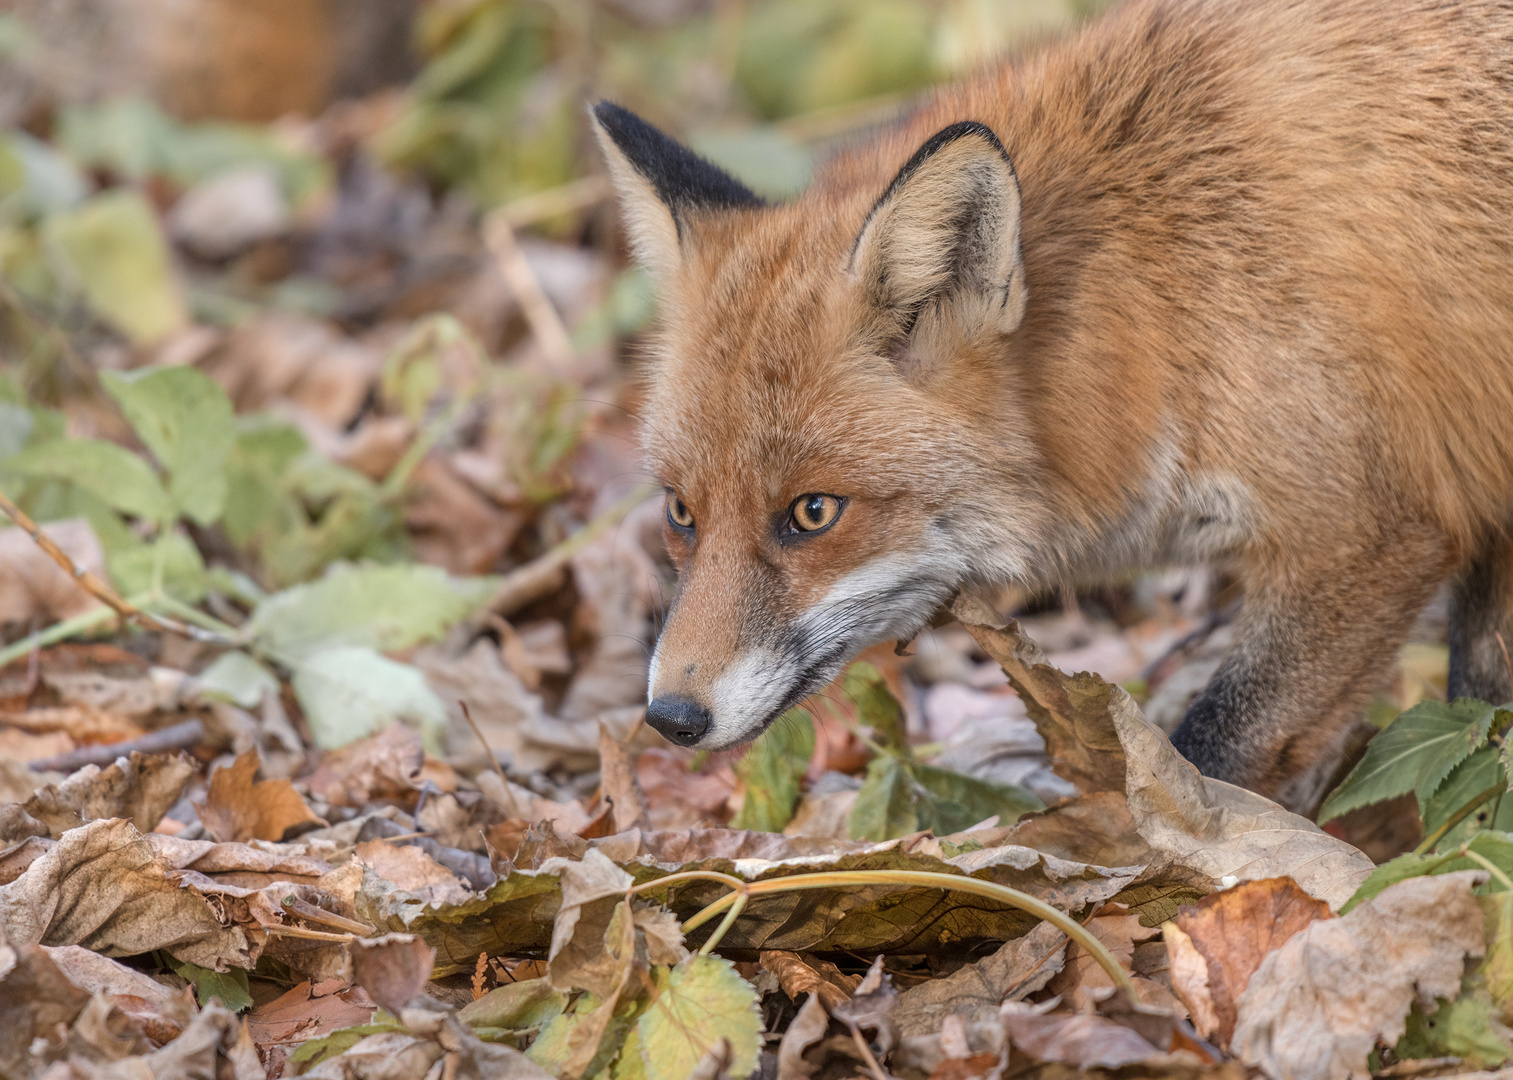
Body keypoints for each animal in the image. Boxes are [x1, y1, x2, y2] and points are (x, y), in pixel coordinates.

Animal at [590, 0, 1513, 810]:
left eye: (812, 513)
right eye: (680, 512)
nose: (670, 717)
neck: (1167, 299)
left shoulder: (1368, 532)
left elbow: (1208, 760)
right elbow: (1483, 701)